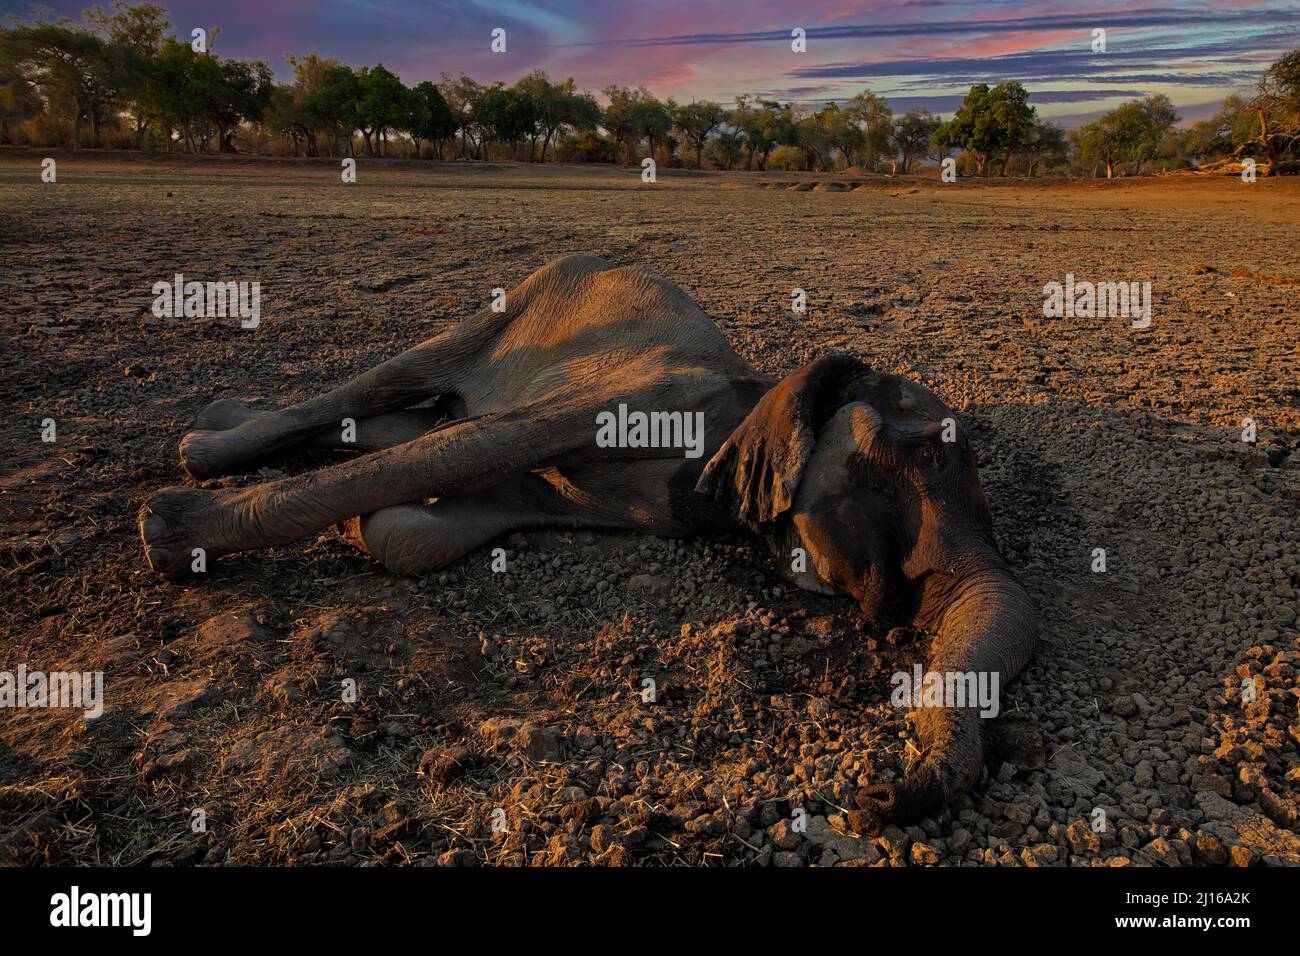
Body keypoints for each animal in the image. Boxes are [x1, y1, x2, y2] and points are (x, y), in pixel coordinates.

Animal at [139, 253, 1037, 827]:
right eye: (923, 456)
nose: (880, 797)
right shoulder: (637, 397)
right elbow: (474, 447)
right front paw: (171, 534)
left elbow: (413, 527)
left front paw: (368, 529)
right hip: (515, 301)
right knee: (389, 386)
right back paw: (204, 449)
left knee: (415, 419)